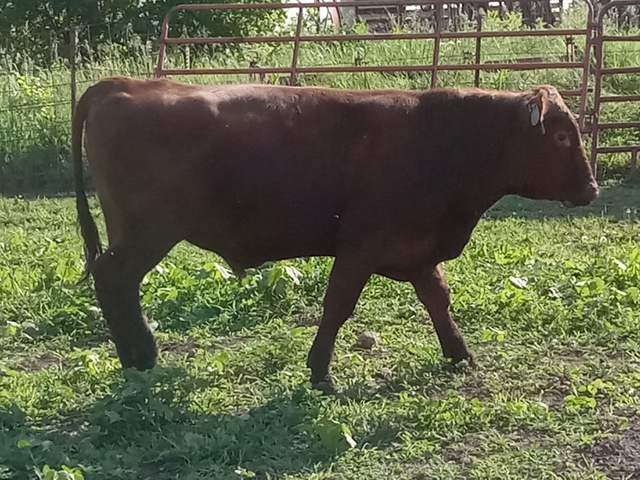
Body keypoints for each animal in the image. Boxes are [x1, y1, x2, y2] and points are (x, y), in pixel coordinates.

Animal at [72, 77, 598, 394]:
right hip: (148, 231)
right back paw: (141, 354)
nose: (591, 188)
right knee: (114, 279)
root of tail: (128, 85)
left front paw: (459, 355)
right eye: (561, 136)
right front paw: (321, 372)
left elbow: (438, 299)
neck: (445, 139)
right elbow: (338, 306)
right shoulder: (361, 249)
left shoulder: (416, 251)